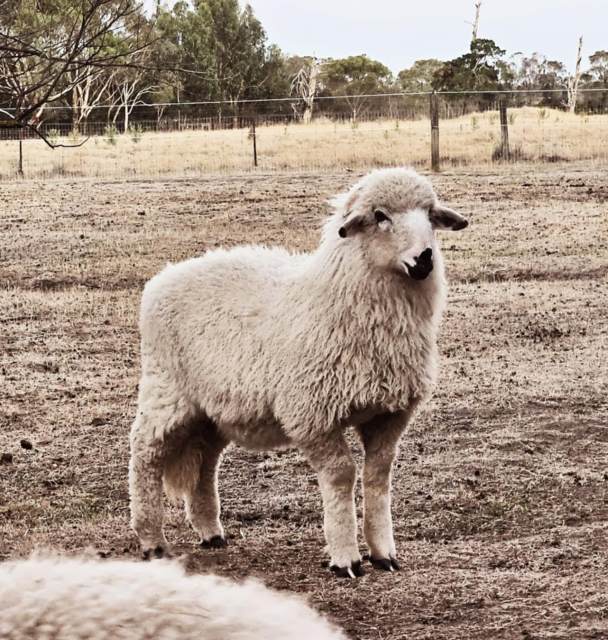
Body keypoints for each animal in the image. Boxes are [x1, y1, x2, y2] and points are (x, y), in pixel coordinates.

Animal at [129, 167, 468, 578]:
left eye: (430, 214)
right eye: (380, 216)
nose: (424, 260)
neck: (338, 299)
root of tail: (164, 275)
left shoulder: (389, 414)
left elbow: (378, 476)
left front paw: (384, 552)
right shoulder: (312, 414)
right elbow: (341, 474)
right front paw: (345, 558)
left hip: (213, 409)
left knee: (206, 463)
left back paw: (211, 532)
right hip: (166, 389)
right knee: (145, 454)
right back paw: (151, 540)